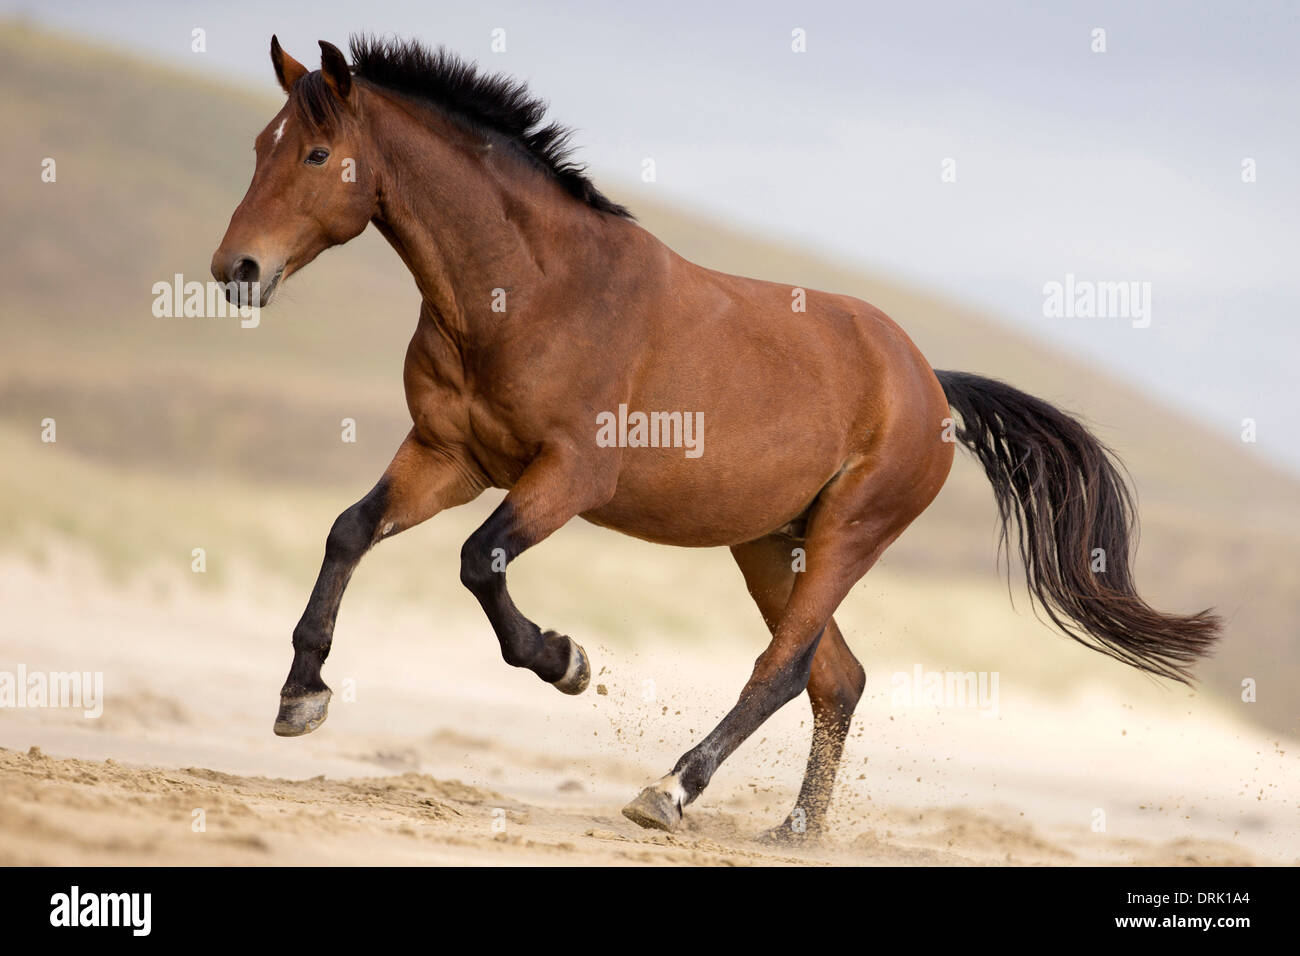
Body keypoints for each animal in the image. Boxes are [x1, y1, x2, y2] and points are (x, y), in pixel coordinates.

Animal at [211, 35, 1220, 841]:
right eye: (260, 146)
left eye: (316, 152)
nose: (234, 271)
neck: (527, 291)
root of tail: (931, 383)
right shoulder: (447, 458)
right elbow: (350, 530)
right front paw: (301, 697)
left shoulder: (566, 475)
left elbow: (477, 563)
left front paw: (569, 663)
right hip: (769, 544)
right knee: (838, 677)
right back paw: (797, 829)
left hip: (847, 535)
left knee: (786, 668)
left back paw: (669, 790)